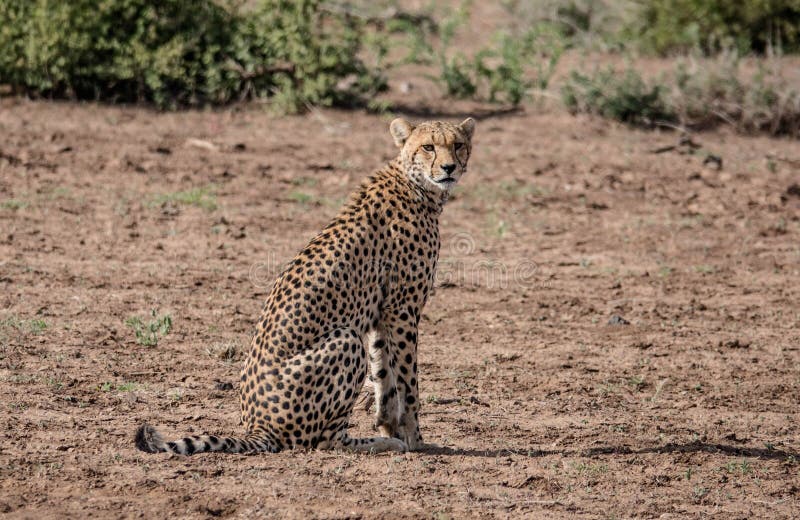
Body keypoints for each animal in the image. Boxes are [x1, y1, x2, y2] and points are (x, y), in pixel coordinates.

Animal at [135, 116, 476, 455]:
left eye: (458, 144)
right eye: (428, 147)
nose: (448, 168)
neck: (415, 184)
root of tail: (258, 428)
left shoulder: (383, 313)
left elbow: (384, 376)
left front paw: (390, 425)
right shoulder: (403, 308)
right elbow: (407, 380)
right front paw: (415, 438)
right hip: (346, 340)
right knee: (324, 440)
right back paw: (379, 443)